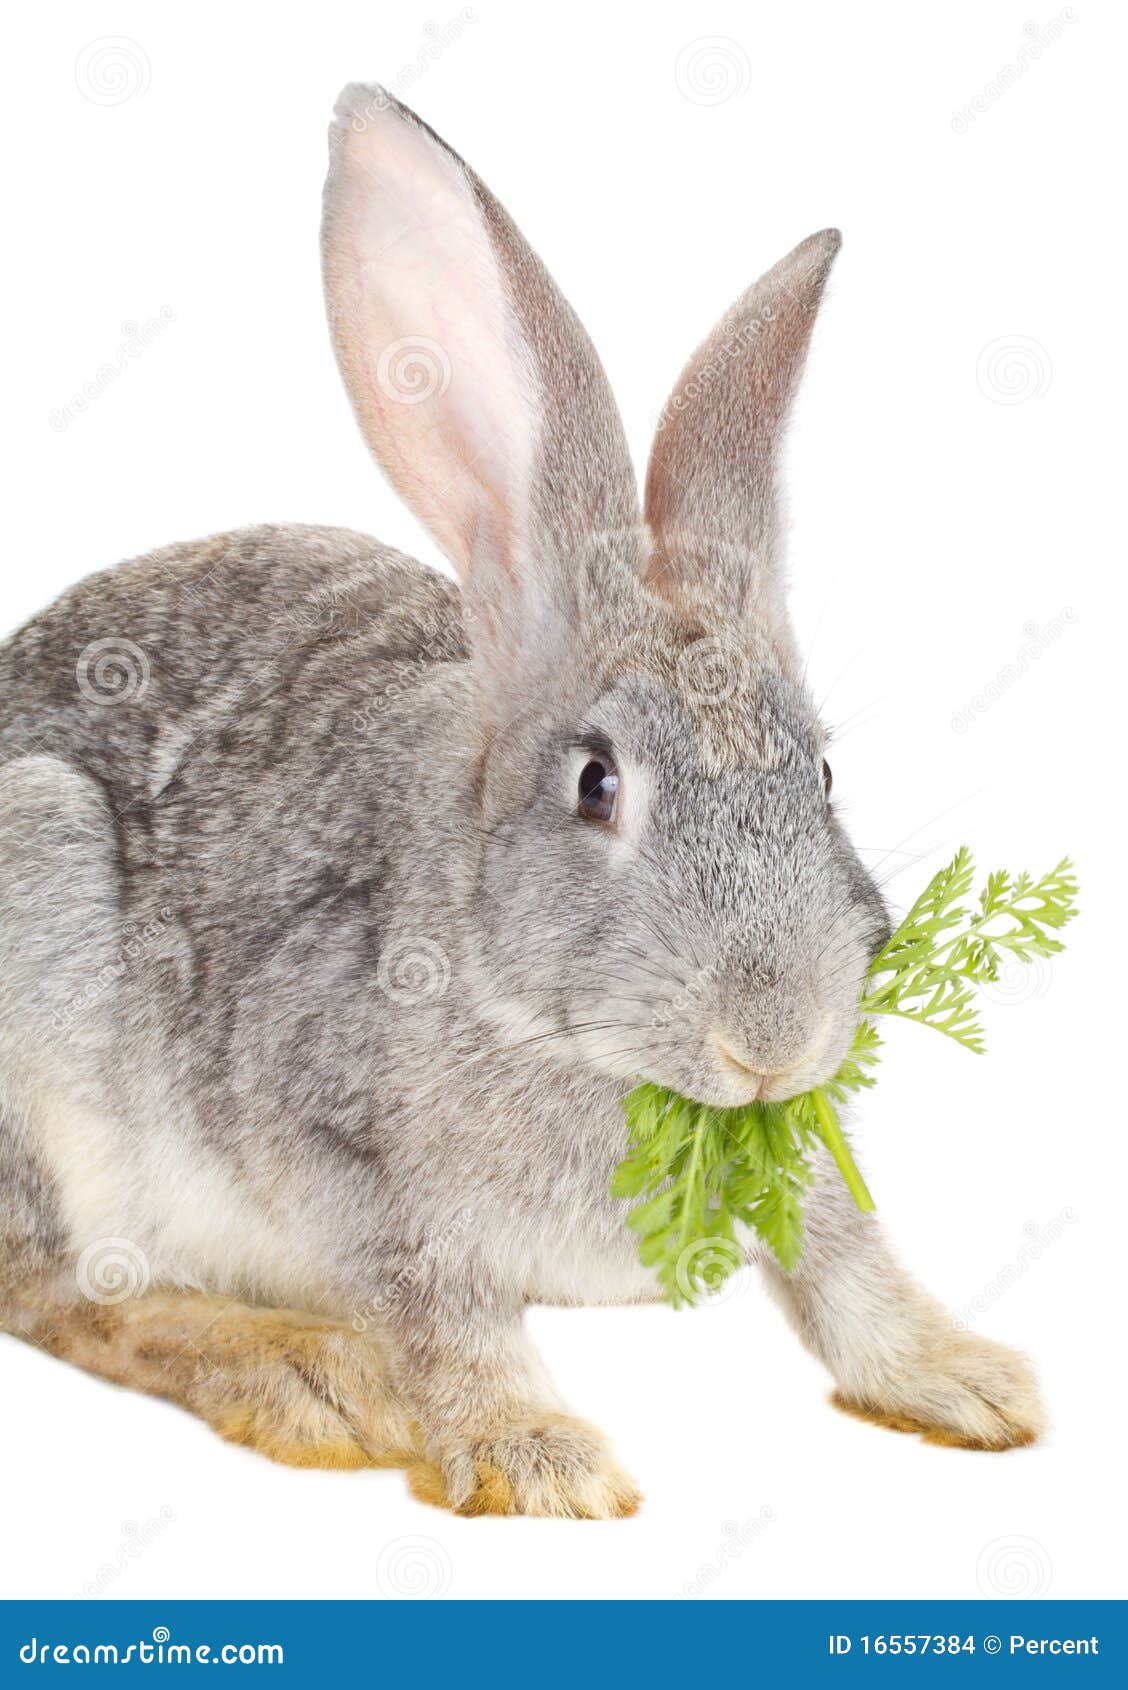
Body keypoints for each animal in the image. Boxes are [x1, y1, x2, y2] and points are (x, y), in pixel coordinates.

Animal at [0, 84, 1042, 1518]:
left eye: (823, 771)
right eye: (597, 783)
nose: (774, 1037)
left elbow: (843, 1261)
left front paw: (967, 1378)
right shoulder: (342, 1157)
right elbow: (444, 1309)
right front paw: (539, 1457)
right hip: (41, 919)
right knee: (61, 1287)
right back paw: (307, 1378)